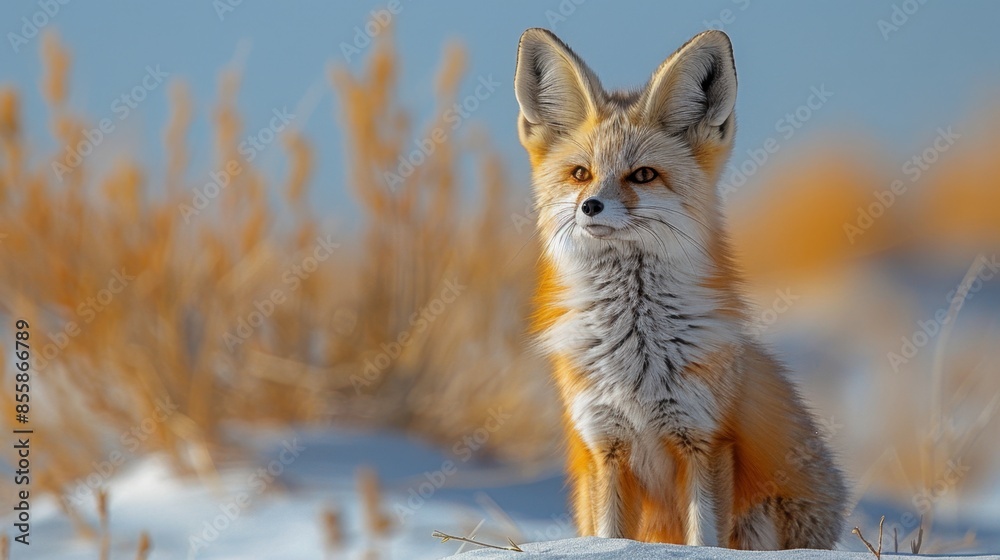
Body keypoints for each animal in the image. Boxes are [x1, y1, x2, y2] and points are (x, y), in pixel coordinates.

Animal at [513, 28, 847, 550]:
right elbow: (608, 535)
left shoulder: (705, 441)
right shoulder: (605, 446)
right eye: (581, 174)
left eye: (643, 175)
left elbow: (703, 539)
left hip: (764, 517)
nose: (590, 206)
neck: (635, 356)